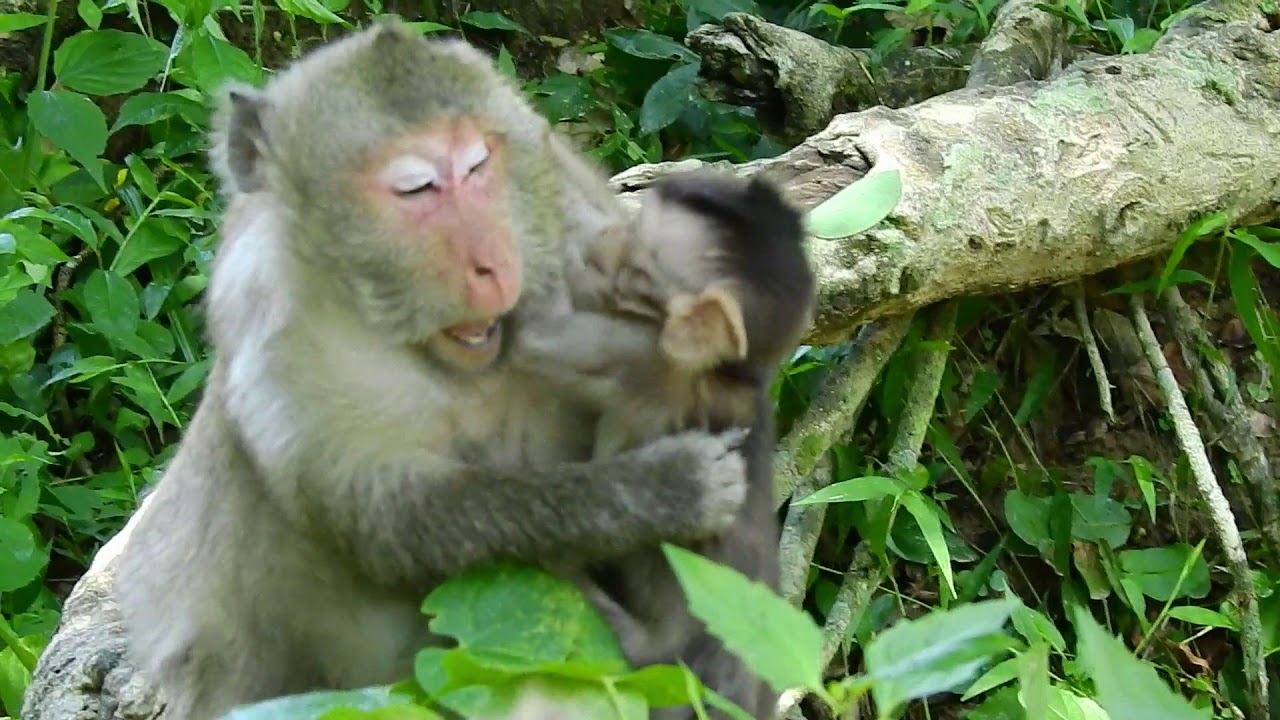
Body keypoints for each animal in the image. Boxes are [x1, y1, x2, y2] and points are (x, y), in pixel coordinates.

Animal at [111, 21, 753, 720]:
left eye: (476, 167)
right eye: (417, 188)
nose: (494, 262)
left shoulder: (566, 200)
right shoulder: (271, 315)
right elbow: (391, 514)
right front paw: (658, 491)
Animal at [508, 170, 817, 720]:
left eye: (637, 264)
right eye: (629, 225)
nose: (603, 241)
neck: (732, 374)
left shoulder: (646, 362)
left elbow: (535, 333)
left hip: (652, 669)